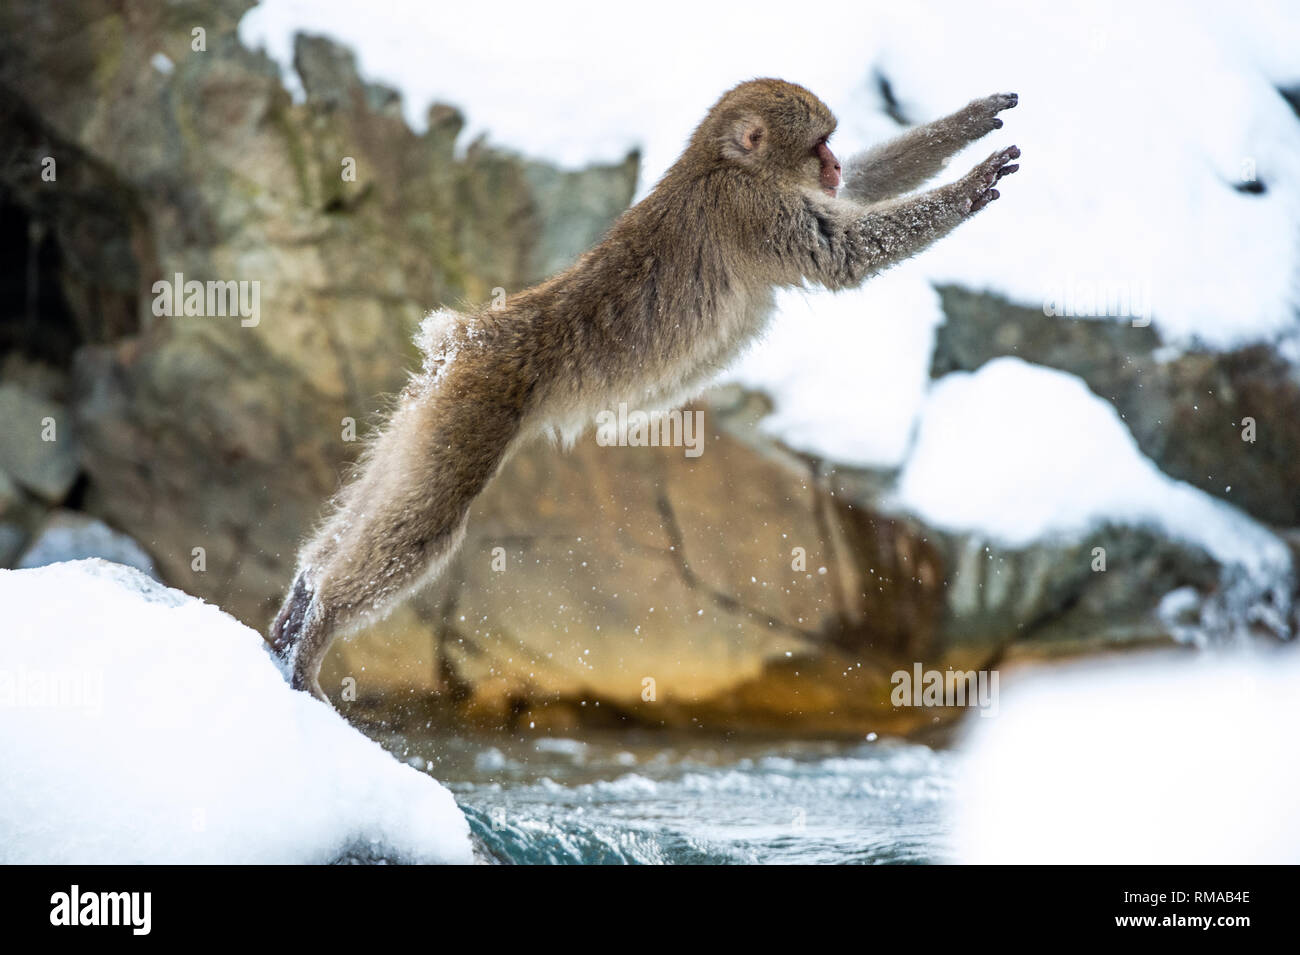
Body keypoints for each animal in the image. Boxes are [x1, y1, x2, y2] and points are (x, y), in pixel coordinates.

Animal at [268, 78, 1020, 701]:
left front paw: (967, 121)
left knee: (378, 504)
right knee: (426, 524)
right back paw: (319, 628)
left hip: (426, 412)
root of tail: (469, 337)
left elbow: (865, 190)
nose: (830, 166)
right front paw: (970, 183)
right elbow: (847, 251)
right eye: (818, 145)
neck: (724, 164)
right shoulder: (755, 211)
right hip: (471, 413)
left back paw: (297, 609)